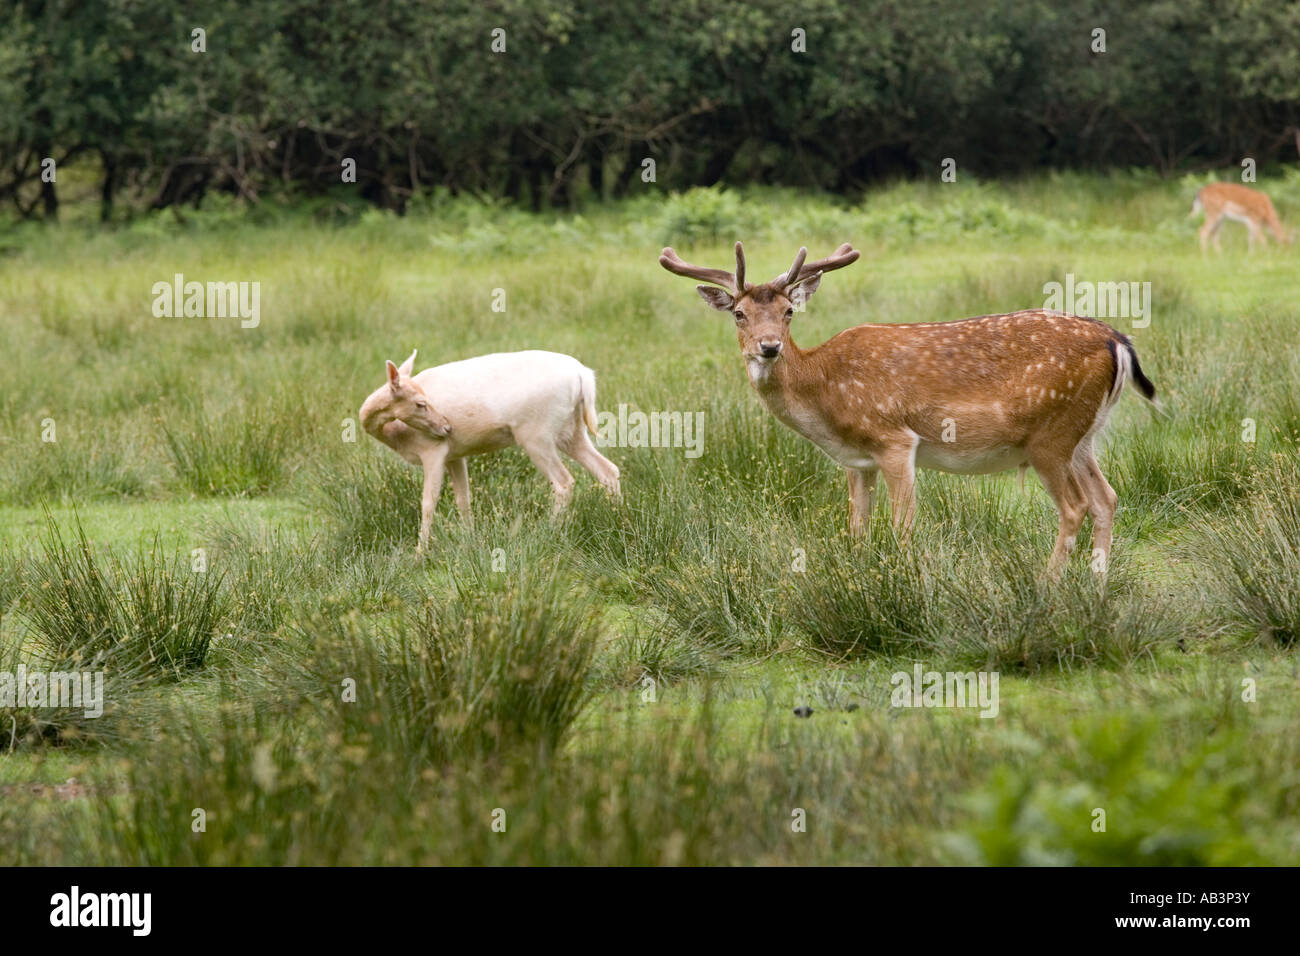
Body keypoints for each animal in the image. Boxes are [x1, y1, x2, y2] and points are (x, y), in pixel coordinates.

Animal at [359, 349, 621, 552]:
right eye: (420, 403)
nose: (447, 428)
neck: (398, 436)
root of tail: (583, 375)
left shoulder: (433, 449)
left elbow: (428, 503)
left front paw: (420, 554)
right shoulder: (454, 455)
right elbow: (463, 498)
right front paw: (470, 541)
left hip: (536, 433)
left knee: (564, 481)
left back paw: (549, 531)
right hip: (570, 429)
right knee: (608, 470)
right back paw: (616, 517)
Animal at [659, 241, 1160, 574]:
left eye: (788, 312)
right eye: (738, 314)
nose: (768, 347)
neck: (826, 394)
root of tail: (1118, 341)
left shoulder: (894, 439)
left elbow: (902, 528)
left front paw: (901, 586)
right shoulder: (857, 460)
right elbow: (856, 528)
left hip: (1050, 436)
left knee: (1076, 507)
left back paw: (1048, 586)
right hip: (1084, 436)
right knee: (1107, 498)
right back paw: (1096, 586)